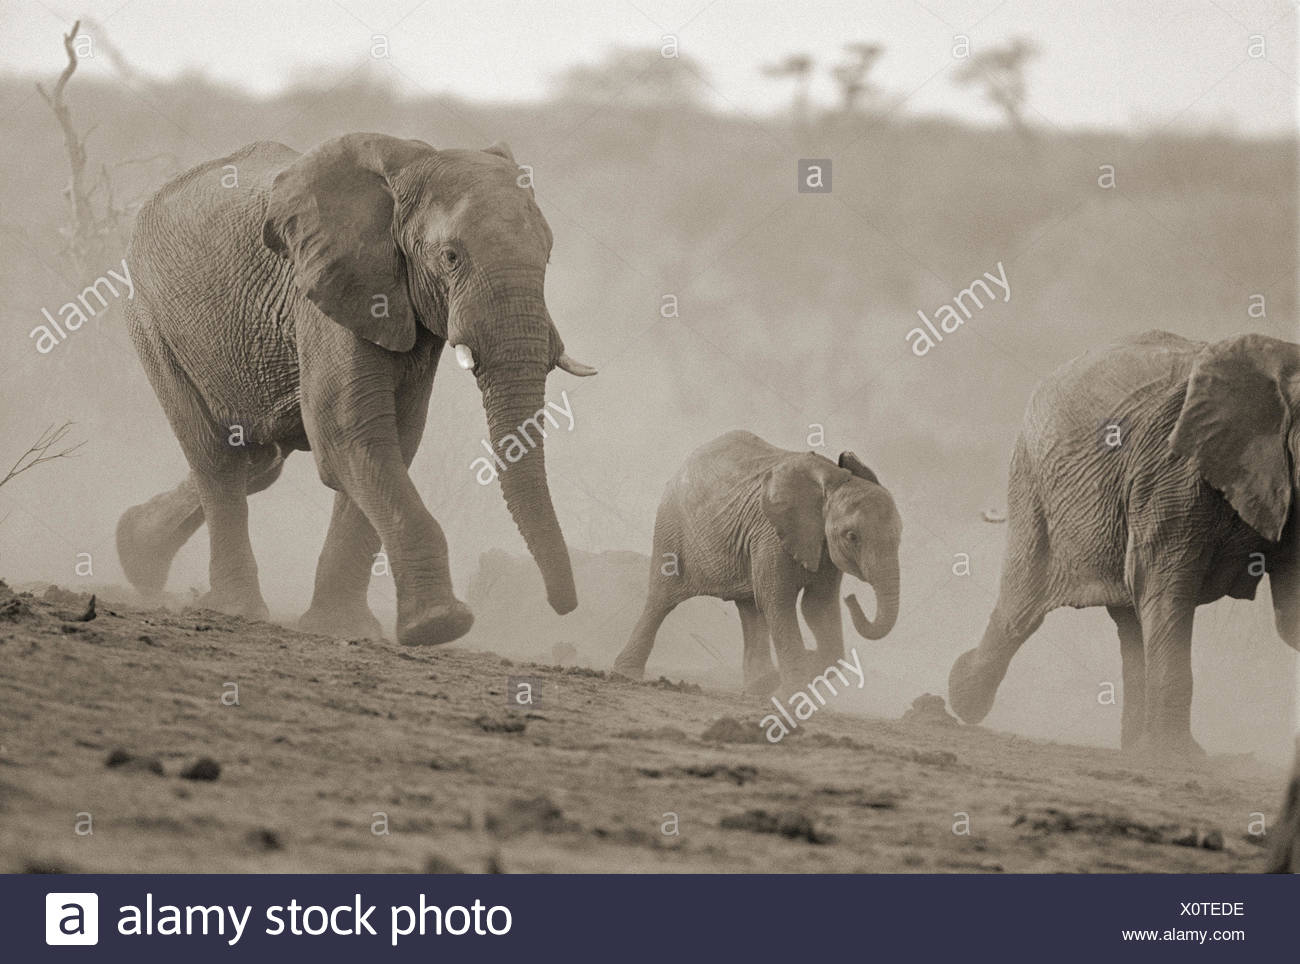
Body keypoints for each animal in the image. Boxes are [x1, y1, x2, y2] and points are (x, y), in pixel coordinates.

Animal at [115, 133, 596, 646]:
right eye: (451, 257)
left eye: (547, 256)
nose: (564, 607)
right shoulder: (328, 289)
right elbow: (350, 435)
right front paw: (440, 625)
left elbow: (392, 440)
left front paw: (343, 628)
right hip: (150, 320)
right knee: (217, 459)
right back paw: (233, 607)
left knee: (258, 461)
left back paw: (134, 552)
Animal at [611, 430, 902, 693]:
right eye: (852, 536)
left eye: (900, 535)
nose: (851, 598)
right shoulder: (771, 533)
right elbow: (778, 600)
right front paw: (791, 694)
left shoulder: (823, 550)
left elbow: (816, 606)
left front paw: (799, 670)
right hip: (671, 529)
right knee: (662, 599)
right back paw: (626, 674)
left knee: (750, 608)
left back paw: (759, 686)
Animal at [948, 330, 1300, 757]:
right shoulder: (1172, 475)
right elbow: (1166, 590)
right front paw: (1178, 757)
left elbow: (1291, 616)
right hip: (1031, 481)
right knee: (1022, 608)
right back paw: (961, 694)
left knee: (1131, 624)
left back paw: (1136, 748)